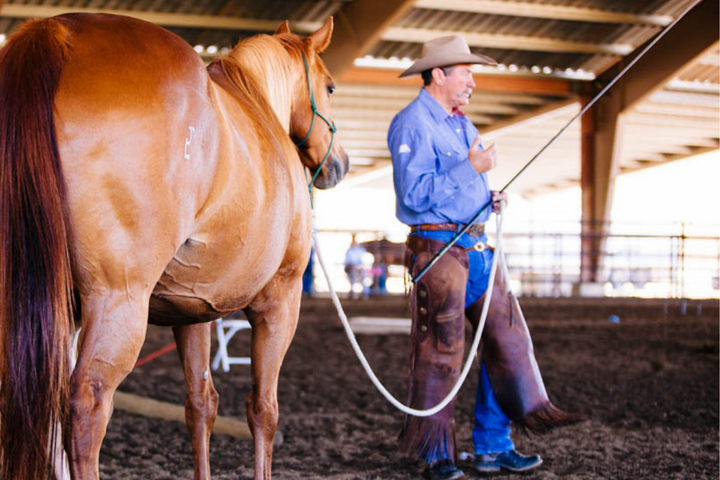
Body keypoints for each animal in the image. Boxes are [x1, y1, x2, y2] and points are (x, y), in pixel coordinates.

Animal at [0, 13, 347, 480]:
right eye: (330, 87)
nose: (339, 164)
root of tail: (55, 32)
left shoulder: (194, 308)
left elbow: (200, 404)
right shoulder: (280, 299)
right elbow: (263, 409)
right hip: (117, 301)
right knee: (86, 407)